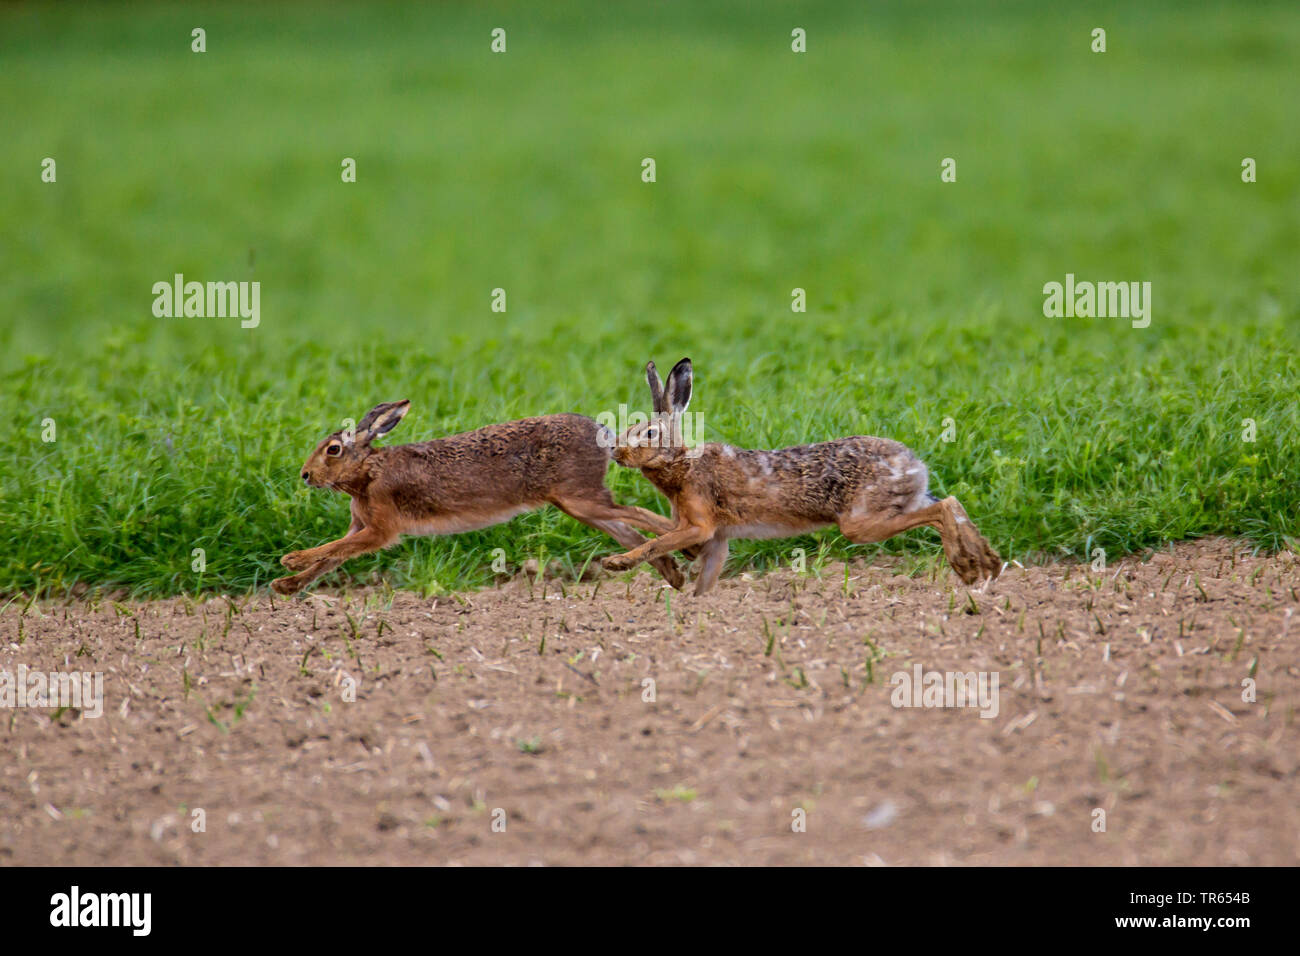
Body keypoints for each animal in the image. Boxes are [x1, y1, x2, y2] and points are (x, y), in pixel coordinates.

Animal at [272, 400, 687, 595]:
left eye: (333, 450)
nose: (305, 475)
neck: (367, 472)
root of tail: (604, 434)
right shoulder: (360, 527)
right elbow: (333, 556)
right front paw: (286, 585)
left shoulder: (380, 530)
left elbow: (333, 550)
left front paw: (290, 561)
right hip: (577, 503)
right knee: (626, 528)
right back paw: (673, 573)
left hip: (582, 498)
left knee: (640, 514)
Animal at [600, 359, 1002, 595]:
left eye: (649, 432)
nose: (616, 450)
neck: (684, 465)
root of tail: (913, 464)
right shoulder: (714, 539)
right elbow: (697, 566)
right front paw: (697, 602)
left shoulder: (701, 525)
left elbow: (658, 542)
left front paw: (616, 563)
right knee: (950, 503)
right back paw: (987, 566)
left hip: (861, 523)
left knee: (942, 509)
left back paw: (966, 566)